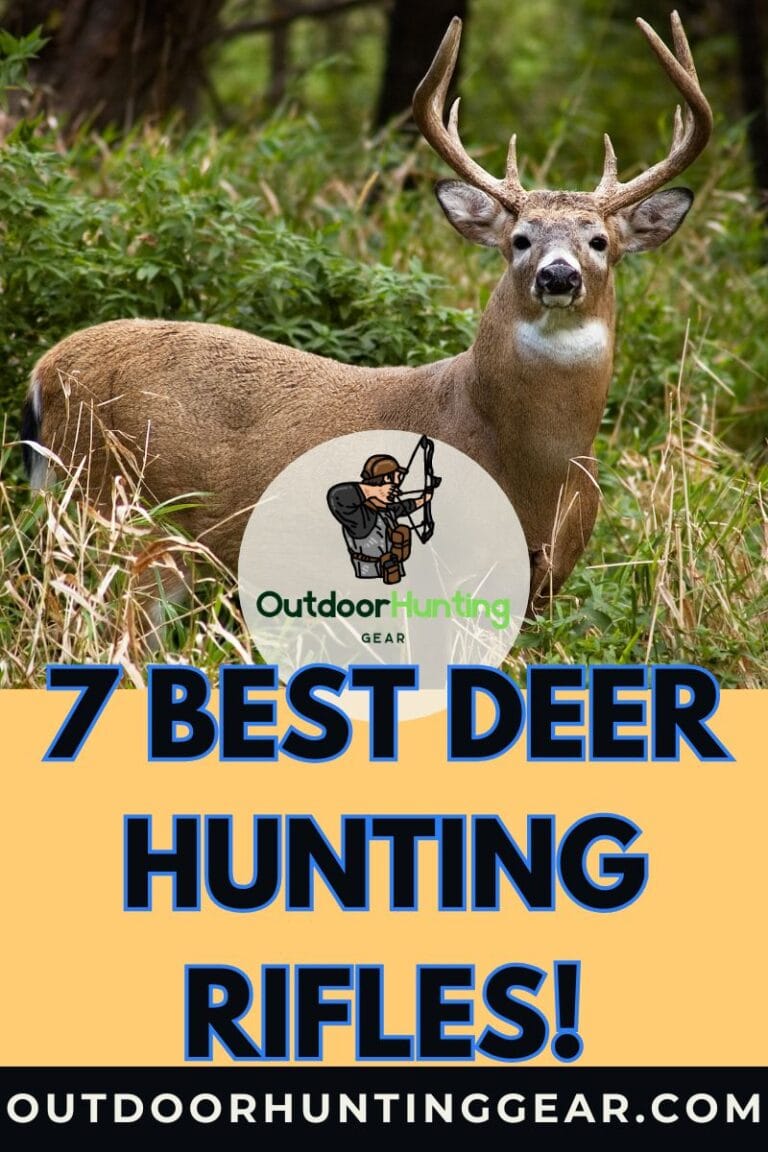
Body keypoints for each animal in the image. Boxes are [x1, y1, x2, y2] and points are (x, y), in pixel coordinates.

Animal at [22, 12, 711, 625]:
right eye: (519, 238)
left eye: (599, 241)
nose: (558, 276)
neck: (538, 470)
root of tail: (44, 370)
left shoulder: (547, 584)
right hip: (116, 510)